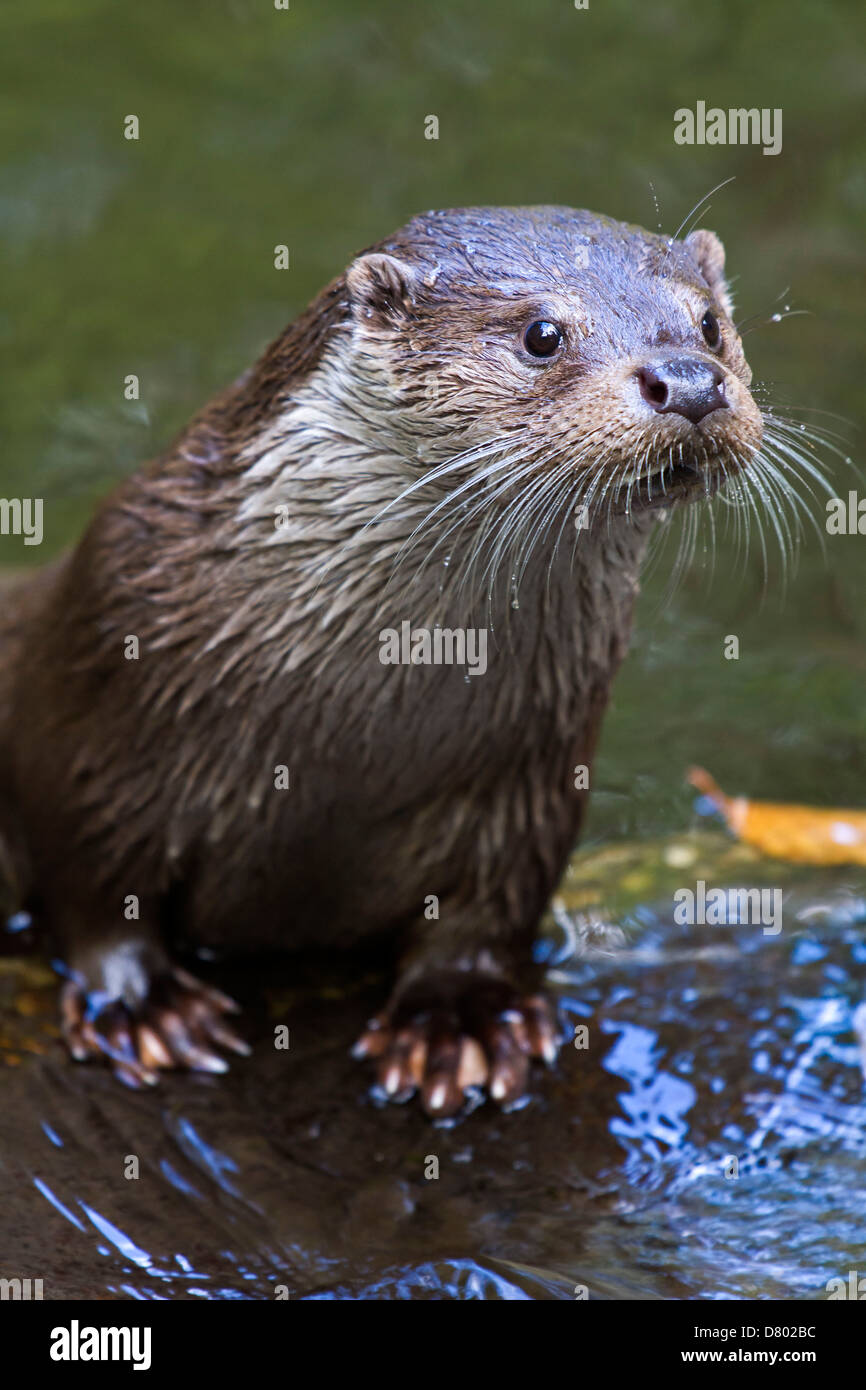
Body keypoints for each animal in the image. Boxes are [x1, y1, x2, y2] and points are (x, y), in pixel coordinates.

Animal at [0, 206, 764, 1116]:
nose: (689, 382)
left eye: (711, 325)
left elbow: (487, 911)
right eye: (542, 334)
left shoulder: (529, 777)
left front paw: (460, 1021)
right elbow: (92, 882)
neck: (357, 725)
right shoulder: (98, 697)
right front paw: (142, 1004)